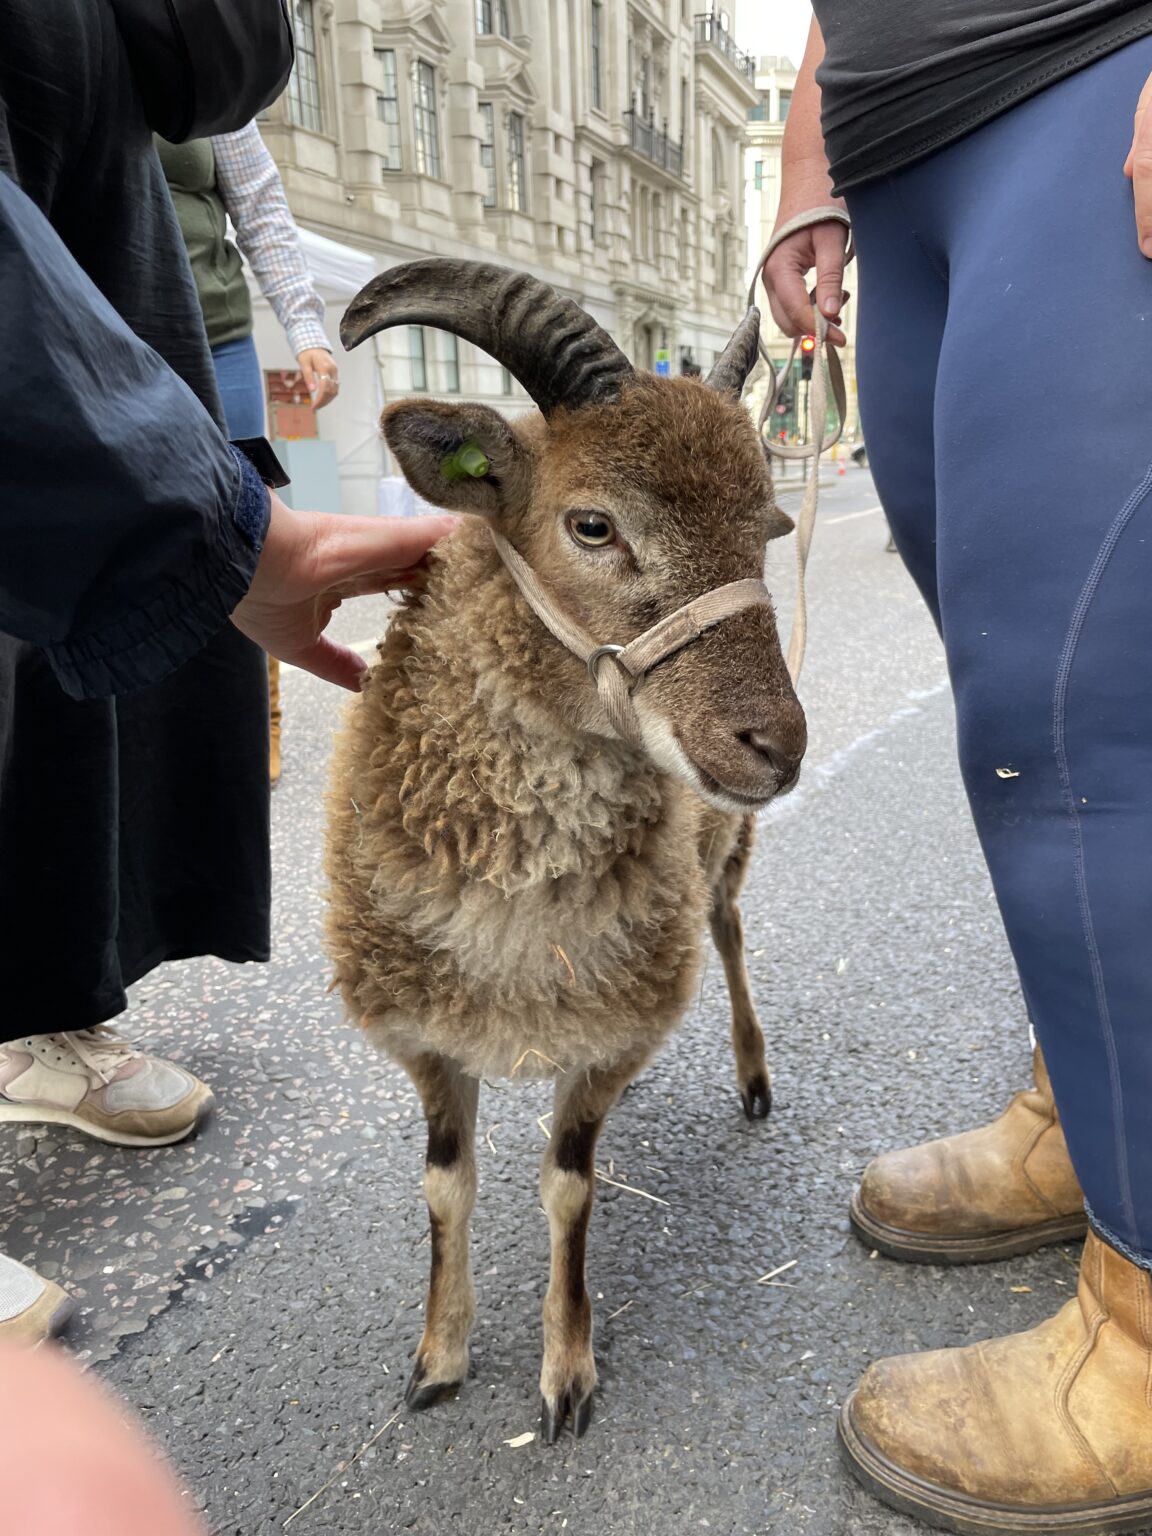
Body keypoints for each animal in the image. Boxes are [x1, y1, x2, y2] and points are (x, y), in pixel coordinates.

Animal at [324, 259, 806, 1441]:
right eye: (592, 525)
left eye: (771, 526)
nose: (778, 746)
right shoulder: (423, 1038)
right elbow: (445, 1186)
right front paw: (439, 1357)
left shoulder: (609, 1033)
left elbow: (568, 1187)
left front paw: (567, 1374)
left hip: (725, 860)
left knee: (729, 934)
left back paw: (753, 1074)